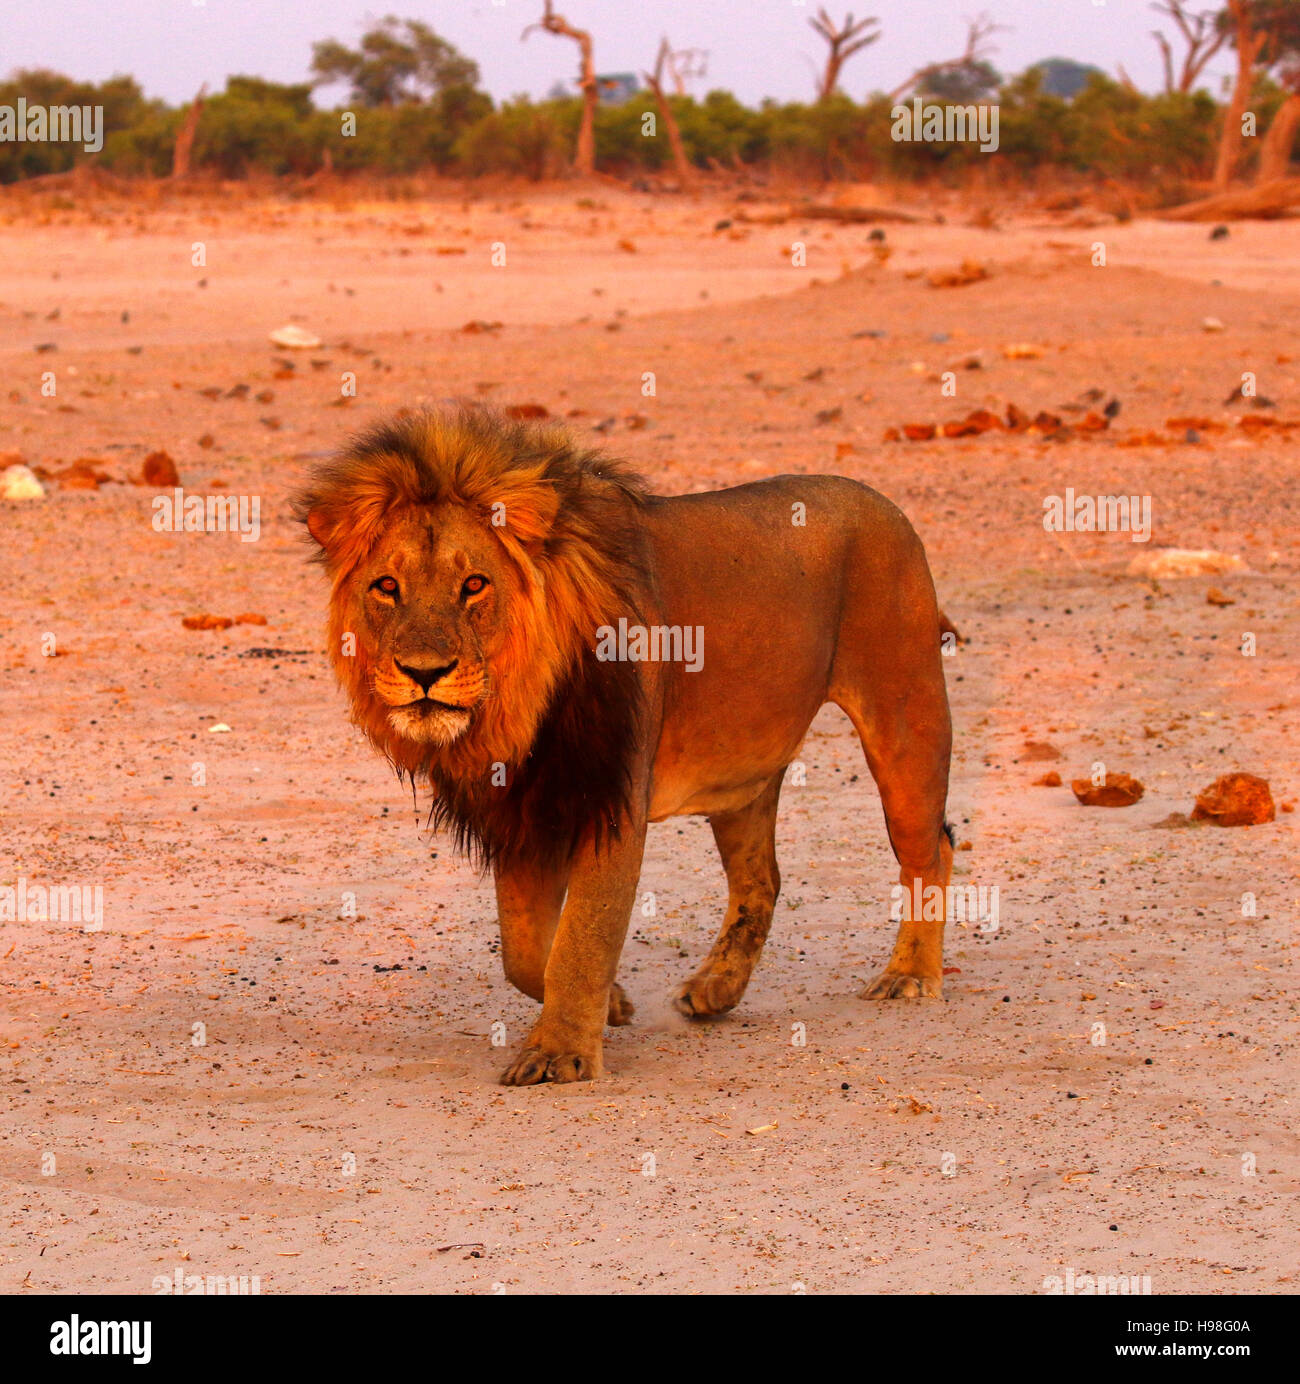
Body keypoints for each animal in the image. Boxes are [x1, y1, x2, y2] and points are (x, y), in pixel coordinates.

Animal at [297, 406, 955, 1086]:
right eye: (386, 586)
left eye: (475, 584)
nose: (424, 672)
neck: (516, 705)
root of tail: (881, 500)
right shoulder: (527, 804)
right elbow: (524, 950)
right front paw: (608, 1005)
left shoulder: (611, 798)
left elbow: (583, 937)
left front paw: (559, 1056)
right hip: (740, 777)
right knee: (761, 880)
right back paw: (717, 989)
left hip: (905, 719)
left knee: (931, 849)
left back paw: (909, 976)